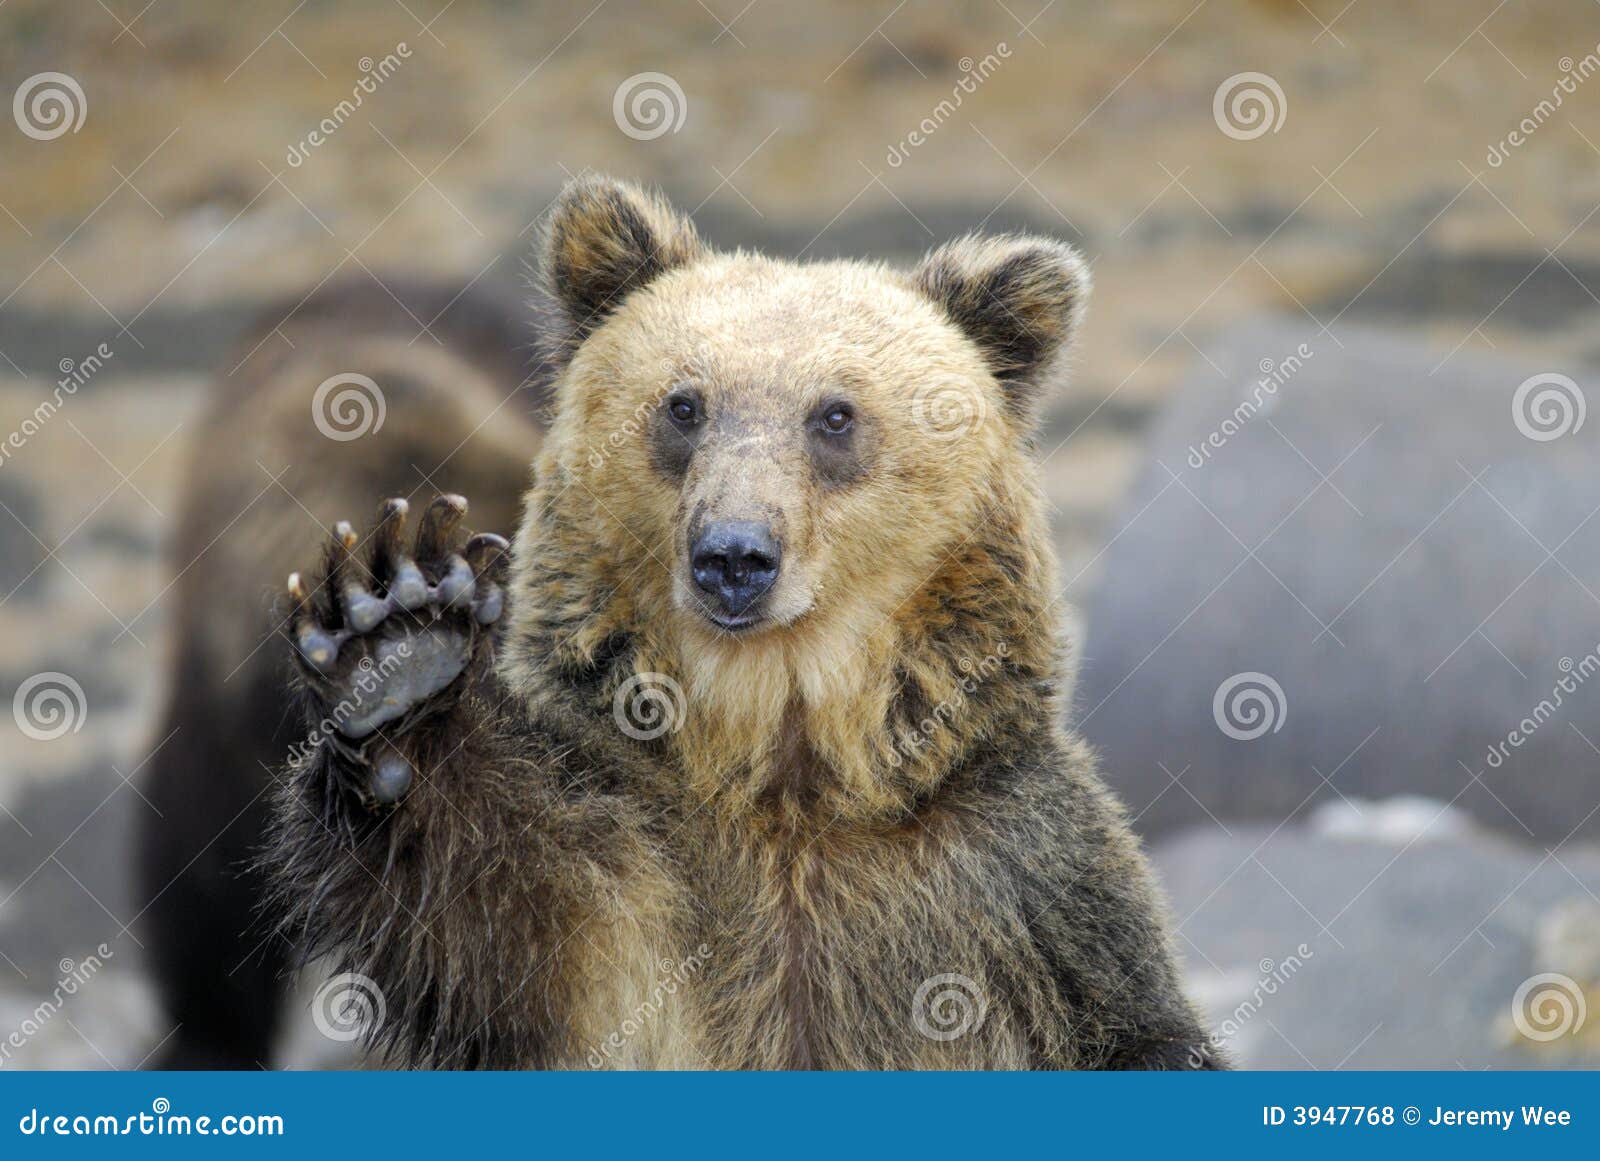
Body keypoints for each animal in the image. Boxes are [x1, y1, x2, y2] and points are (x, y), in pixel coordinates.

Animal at [263, 175, 1221, 1069]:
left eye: (835, 414)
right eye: (684, 404)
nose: (733, 555)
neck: (783, 757)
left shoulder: (1021, 886)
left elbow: (1134, 1025)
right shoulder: (610, 868)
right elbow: (485, 906)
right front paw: (395, 638)